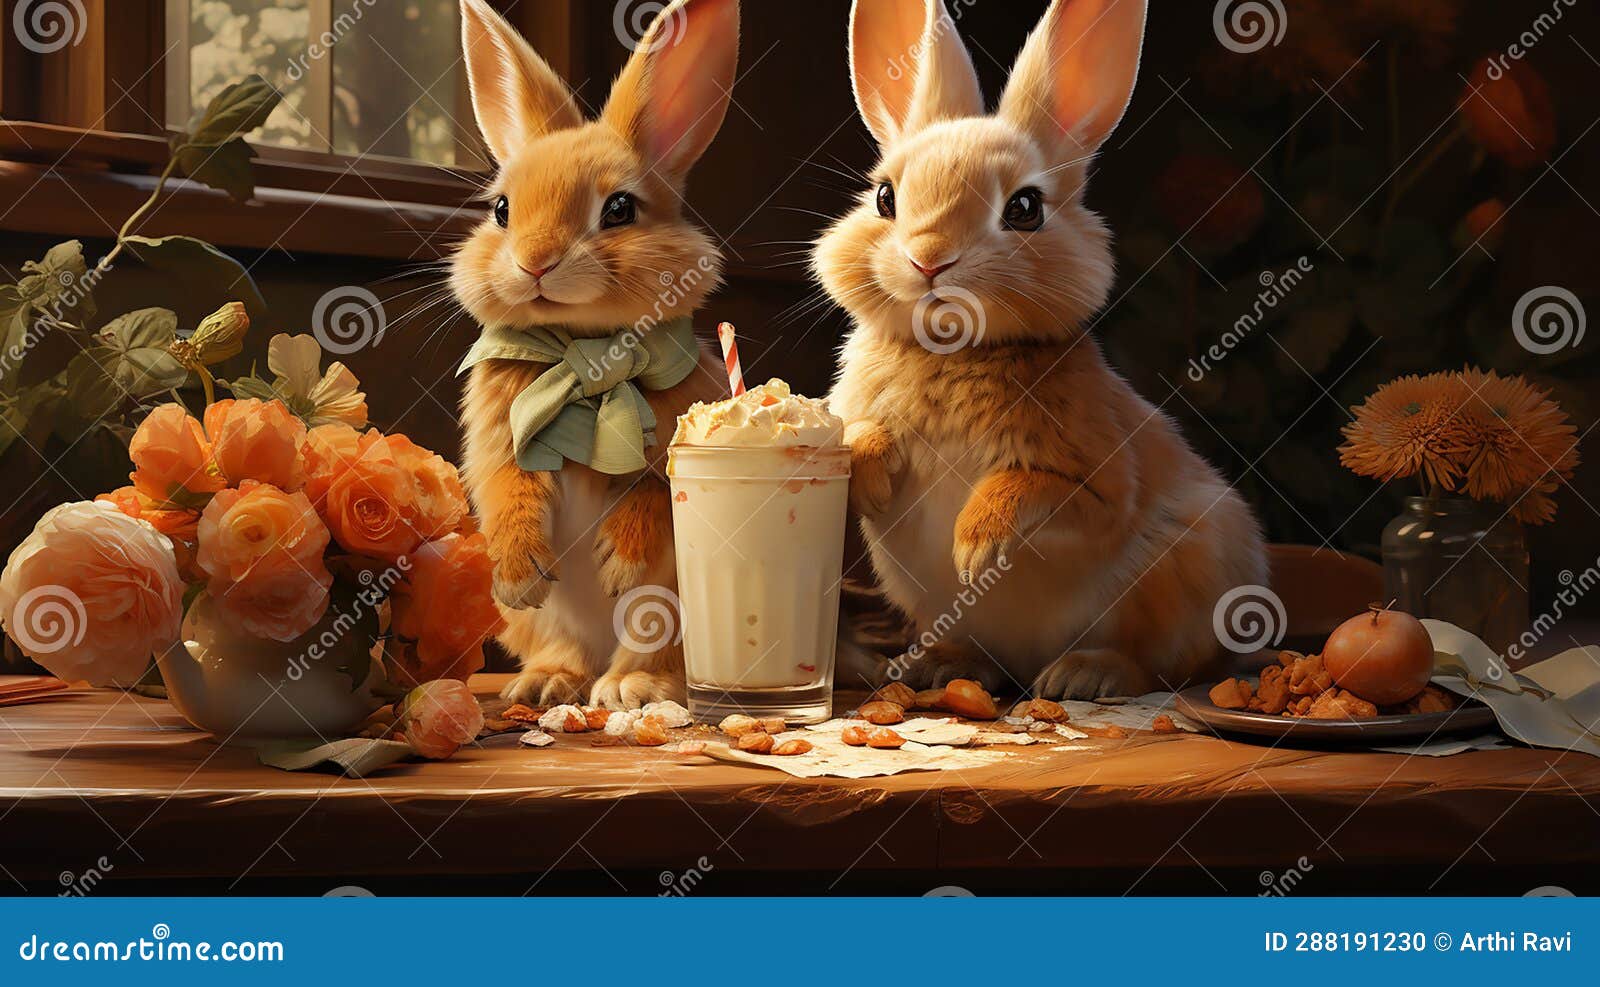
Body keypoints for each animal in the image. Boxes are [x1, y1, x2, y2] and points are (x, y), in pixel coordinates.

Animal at [451, 0, 739, 708]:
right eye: (502, 209)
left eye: (620, 209)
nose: (535, 262)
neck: (583, 354)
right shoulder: (499, 443)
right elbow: (507, 491)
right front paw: (520, 572)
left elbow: (649, 492)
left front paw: (617, 561)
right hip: (543, 624)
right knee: (566, 648)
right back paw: (545, 685)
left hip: (675, 610)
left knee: (652, 653)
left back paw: (632, 689)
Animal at [817, 0, 1268, 700]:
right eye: (884, 198)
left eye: (1025, 208)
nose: (929, 260)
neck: (952, 353)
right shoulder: (855, 412)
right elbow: (862, 434)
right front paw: (871, 482)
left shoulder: (1100, 486)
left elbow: (1034, 486)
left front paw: (974, 547)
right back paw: (943, 666)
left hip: (1182, 569)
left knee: (1160, 666)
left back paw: (1084, 675)